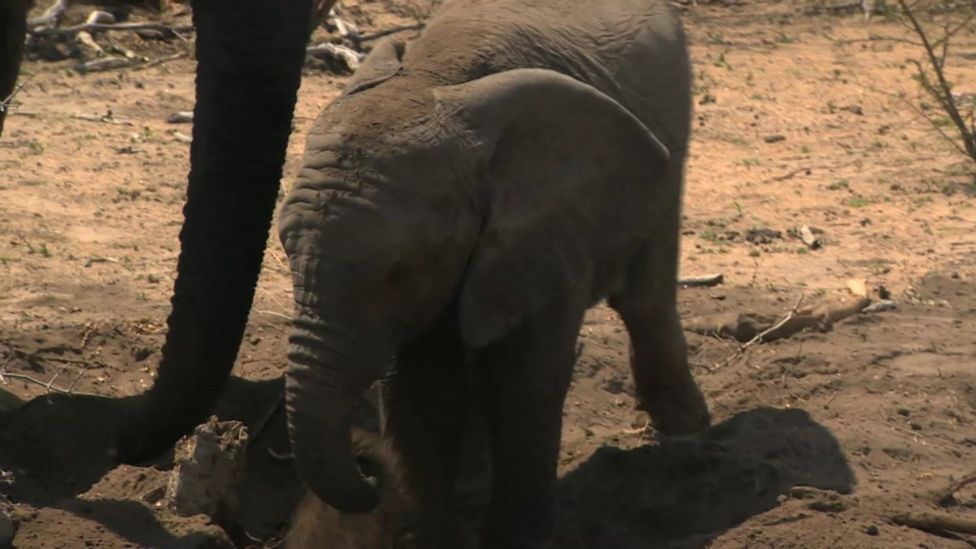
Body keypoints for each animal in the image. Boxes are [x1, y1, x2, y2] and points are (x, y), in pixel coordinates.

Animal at [277, 0, 710, 545]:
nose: (367, 468)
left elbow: (526, 377)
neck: (429, 77)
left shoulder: (546, 227)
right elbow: (419, 391)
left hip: (674, 121)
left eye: (398, 270)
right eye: (286, 254)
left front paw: (517, 539)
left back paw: (685, 434)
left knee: (644, 295)